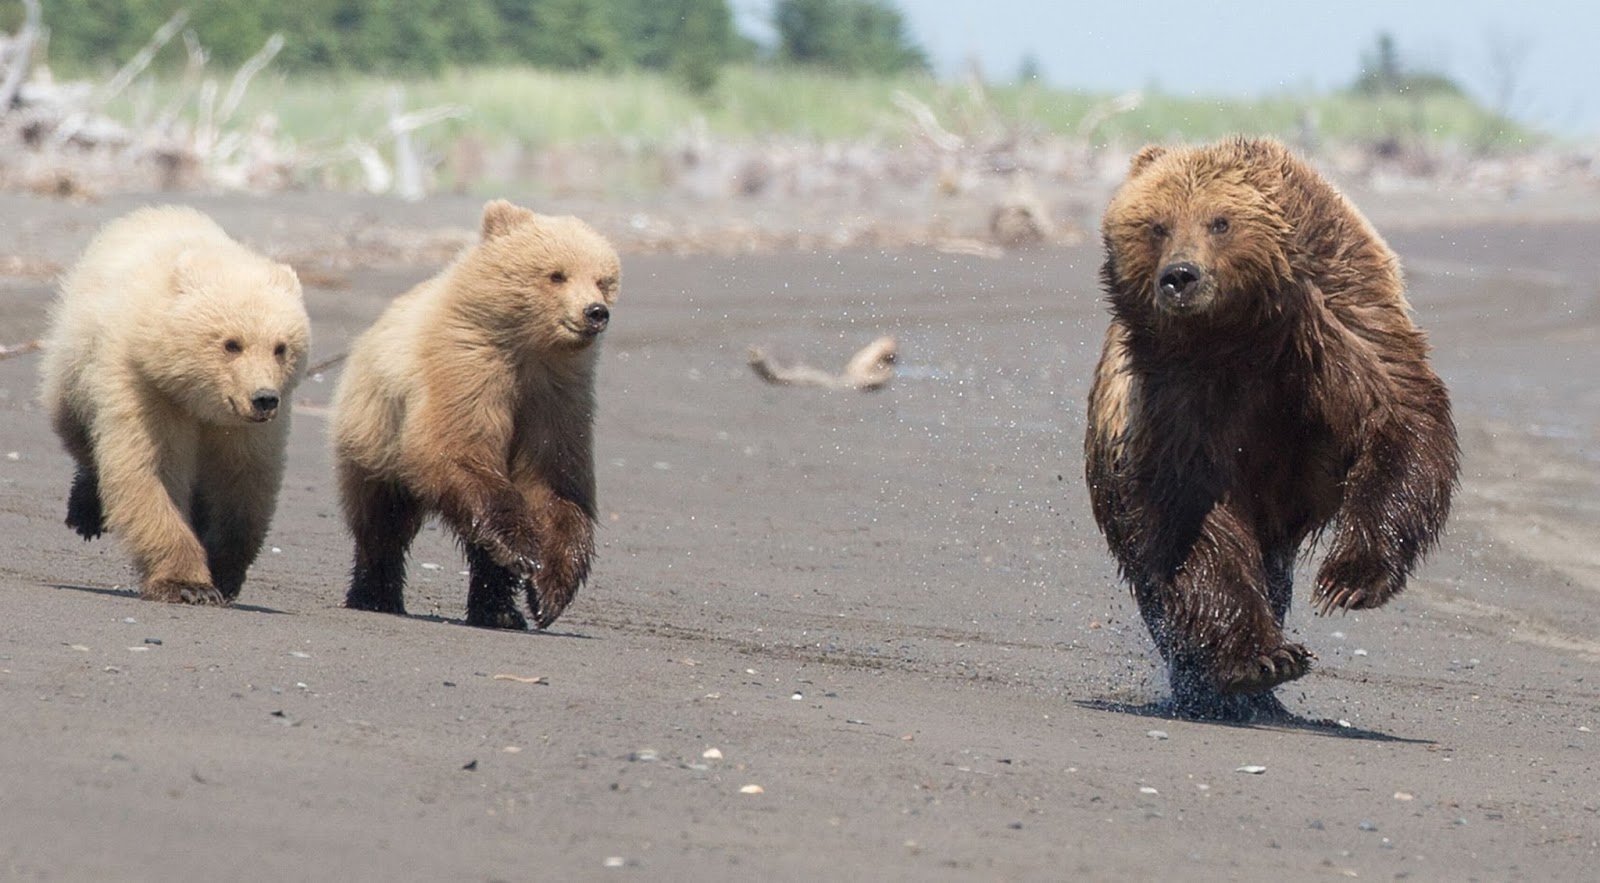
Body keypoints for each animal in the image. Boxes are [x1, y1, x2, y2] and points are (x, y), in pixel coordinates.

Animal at [38, 205, 311, 605]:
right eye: (232, 343)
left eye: (281, 347)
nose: (264, 398)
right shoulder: (145, 387)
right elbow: (150, 470)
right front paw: (187, 583)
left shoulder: (246, 430)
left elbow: (243, 484)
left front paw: (224, 573)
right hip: (74, 367)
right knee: (77, 432)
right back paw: (86, 509)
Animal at [331, 199, 619, 631]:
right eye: (557, 274)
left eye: (604, 280)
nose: (594, 311)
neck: (526, 354)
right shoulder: (467, 374)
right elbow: (457, 451)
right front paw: (522, 547)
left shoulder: (558, 402)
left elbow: (555, 483)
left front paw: (549, 589)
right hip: (374, 433)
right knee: (382, 522)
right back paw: (376, 594)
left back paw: (499, 610)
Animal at [1083, 137, 1459, 719]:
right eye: (1156, 225)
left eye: (1220, 221)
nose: (1180, 276)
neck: (1240, 333)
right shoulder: (1174, 399)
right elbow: (1193, 518)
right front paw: (1261, 659)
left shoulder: (1338, 327)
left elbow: (1399, 420)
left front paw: (1347, 580)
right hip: (1114, 485)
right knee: (1156, 577)